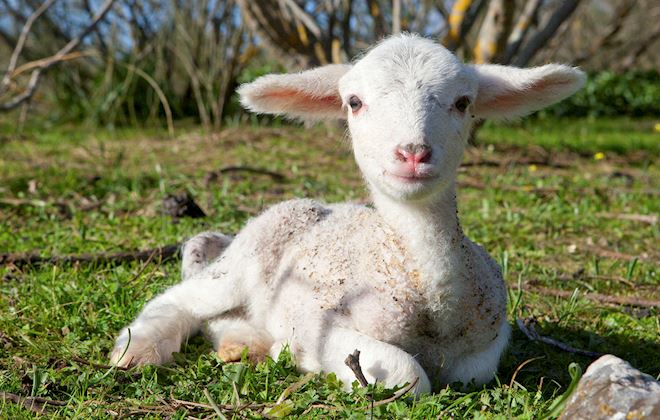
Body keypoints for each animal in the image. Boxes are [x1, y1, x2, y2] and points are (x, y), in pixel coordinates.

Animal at [110, 34, 585, 395]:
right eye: (354, 102)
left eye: (463, 102)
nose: (413, 153)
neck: (422, 291)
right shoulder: (320, 325)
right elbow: (408, 373)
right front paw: (301, 356)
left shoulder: (492, 338)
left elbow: (471, 372)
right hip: (248, 257)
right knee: (181, 298)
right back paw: (136, 350)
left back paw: (245, 343)